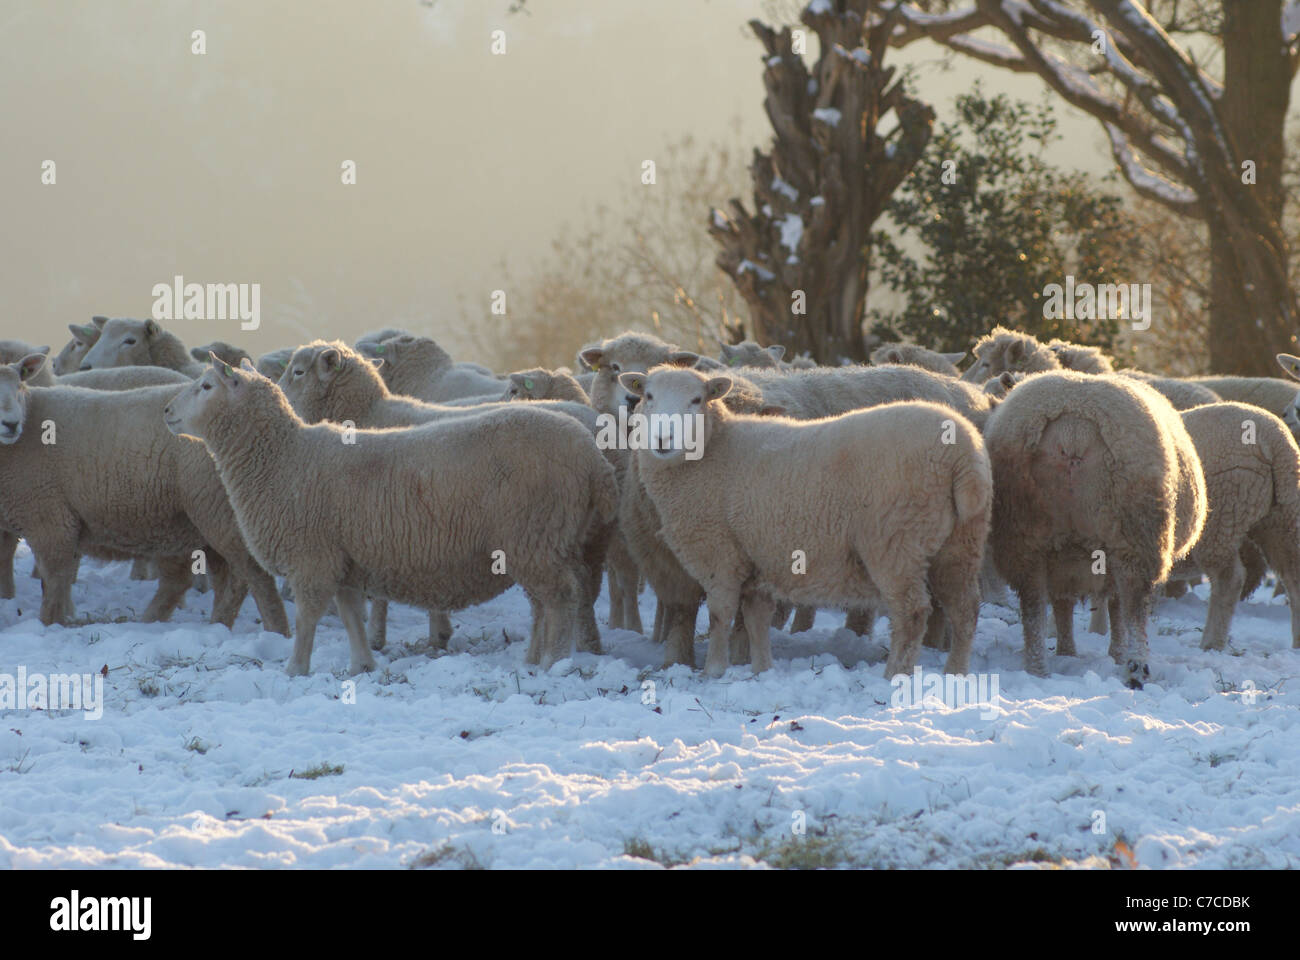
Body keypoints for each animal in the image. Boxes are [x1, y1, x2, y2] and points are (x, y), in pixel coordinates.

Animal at [0, 355, 288, 634]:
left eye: (19, 387)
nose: (10, 424)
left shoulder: (49, 518)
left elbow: (54, 580)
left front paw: (50, 623)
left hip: (219, 513)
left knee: (249, 576)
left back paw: (274, 631)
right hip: (189, 520)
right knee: (204, 580)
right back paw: (199, 623)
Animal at [165, 356, 619, 674]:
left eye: (206, 386)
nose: (167, 412)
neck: (282, 457)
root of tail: (591, 456)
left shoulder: (311, 558)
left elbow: (309, 617)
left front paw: (295, 668)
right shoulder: (342, 558)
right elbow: (350, 614)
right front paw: (361, 664)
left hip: (534, 536)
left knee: (561, 598)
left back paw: (553, 664)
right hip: (543, 541)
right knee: (546, 602)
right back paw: (533, 659)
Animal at [620, 366, 992, 677]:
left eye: (697, 399)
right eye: (648, 396)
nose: (663, 439)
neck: (711, 451)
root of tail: (962, 452)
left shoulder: (719, 553)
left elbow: (719, 615)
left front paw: (714, 671)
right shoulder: (757, 556)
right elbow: (755, 619)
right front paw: (761, 670)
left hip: (895, 541)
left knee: (912, 613)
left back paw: (895, 674)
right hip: (963, 542)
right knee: (965, 610)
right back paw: (956, 673)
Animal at [983, 371, 1206, 686]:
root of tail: (1074, 430)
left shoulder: (1062, 556)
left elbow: (1062, 605)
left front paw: (1067, 653)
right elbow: (1115, 607)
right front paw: (1114, 654)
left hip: (1024, 534)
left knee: (1033, 607)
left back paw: (1037, 669)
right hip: (1135, 533)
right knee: (1133, 605)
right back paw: (1136, 667)